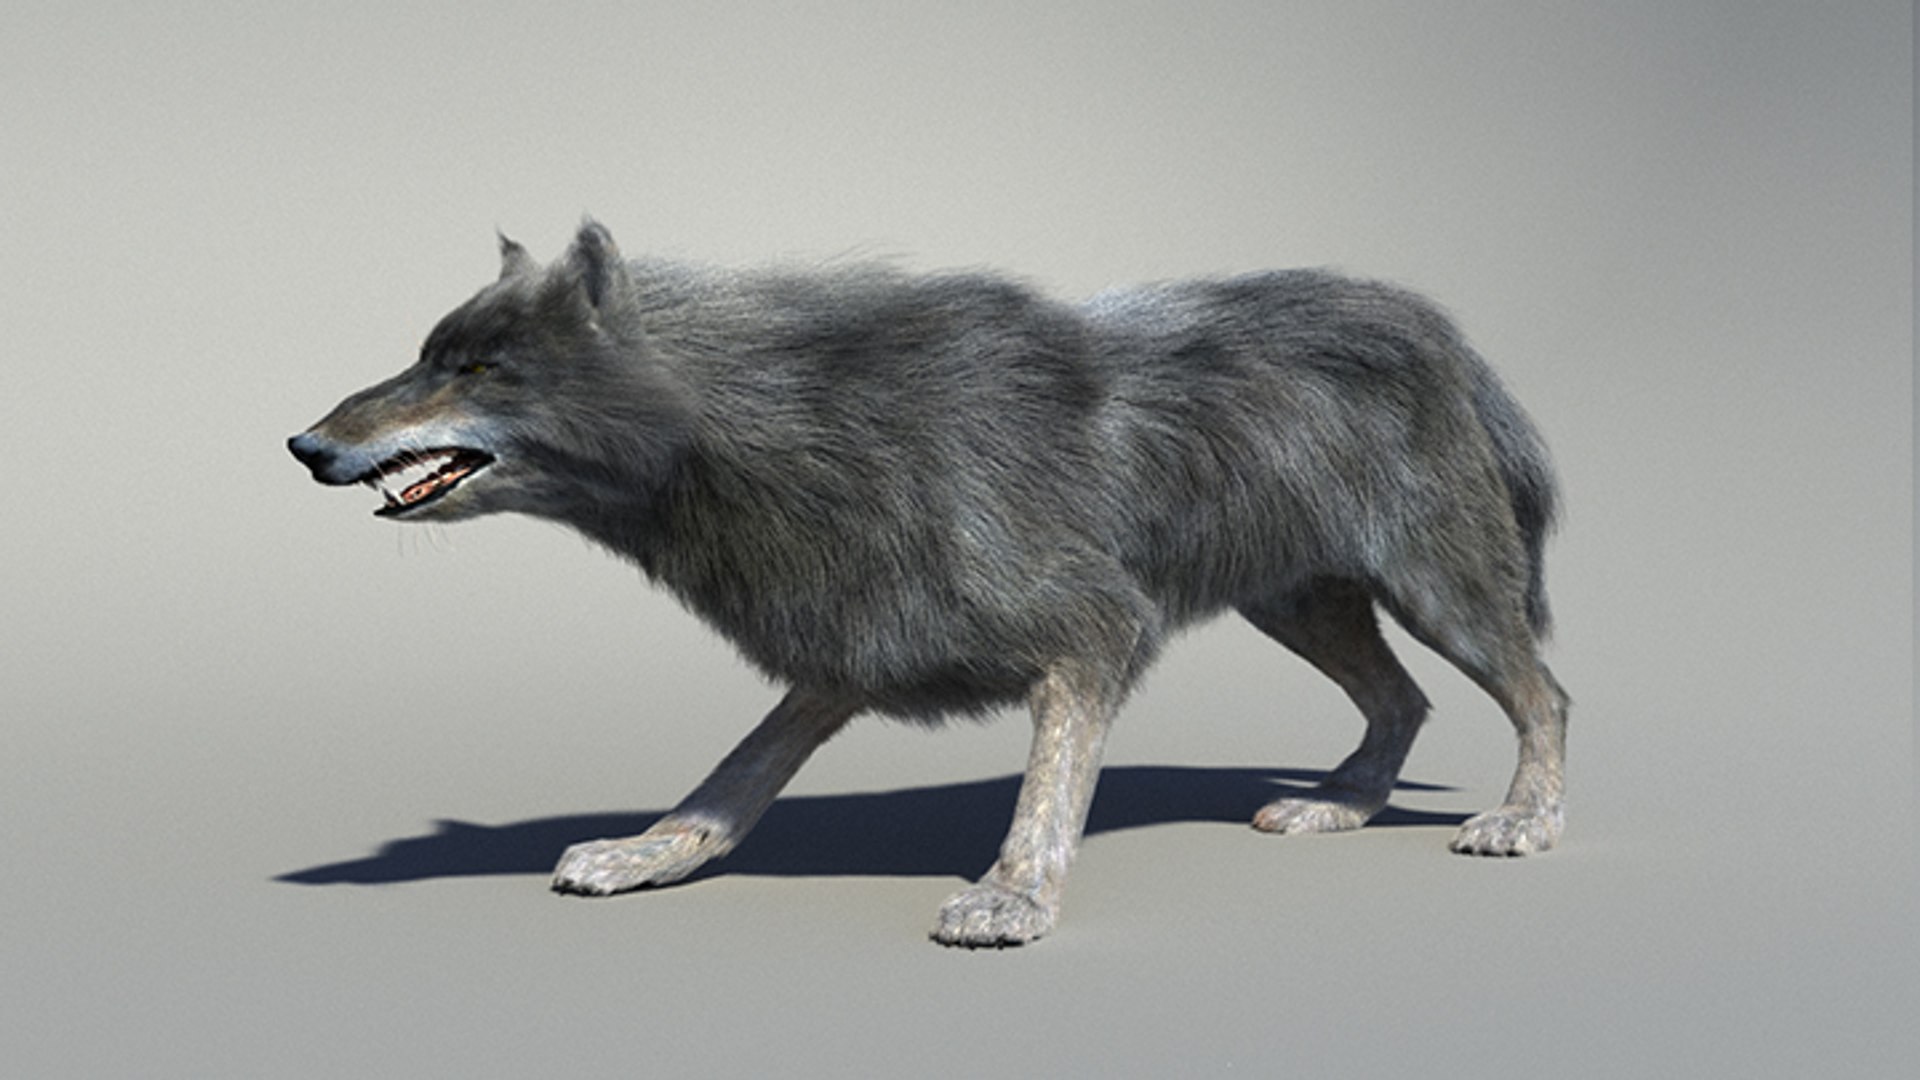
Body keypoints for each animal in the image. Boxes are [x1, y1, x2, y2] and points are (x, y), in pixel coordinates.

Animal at [289, 220, 1568, 947]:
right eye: (427, 353)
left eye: (478, 367)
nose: (302, 444)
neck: (779, 428)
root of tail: (1439, 328)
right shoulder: (844, 653)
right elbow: (727, 784)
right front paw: (647, 854)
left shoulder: (1092, 633)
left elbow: (1049, 792)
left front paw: (1016, 901)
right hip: (1299, 602)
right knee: (1402, 700)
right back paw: (1340, 804)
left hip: (1438, 590)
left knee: (1543, 692)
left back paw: (1524, 821)